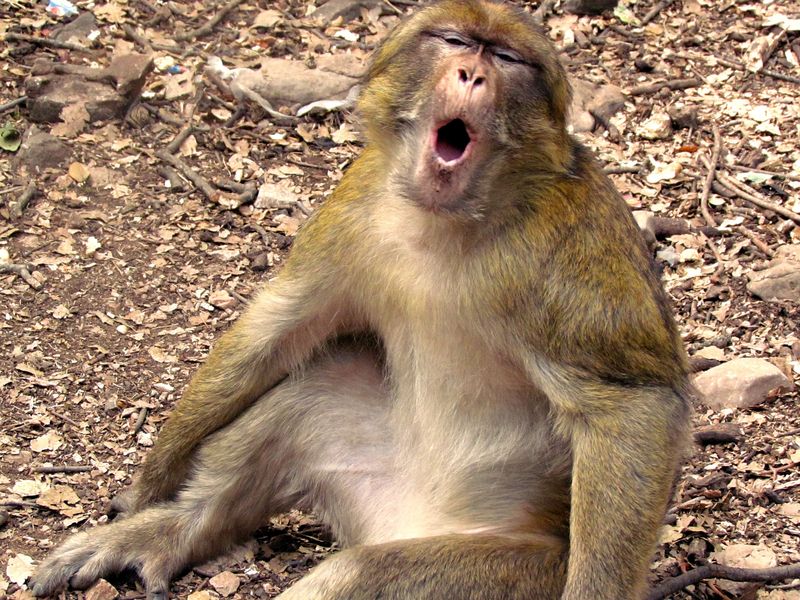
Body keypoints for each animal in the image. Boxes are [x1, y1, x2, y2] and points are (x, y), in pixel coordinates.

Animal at [30, 1, 691, 598]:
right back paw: (173, 529)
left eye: (506, 59)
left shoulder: (568, 245)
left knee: (357, 574)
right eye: (455, 41)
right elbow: (281, 325)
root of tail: (400, 522)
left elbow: (636, 403)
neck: (446, 221)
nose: (471, 75)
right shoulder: (360, 198)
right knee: (314, 389)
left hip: (507, 570)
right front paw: (150, 490)